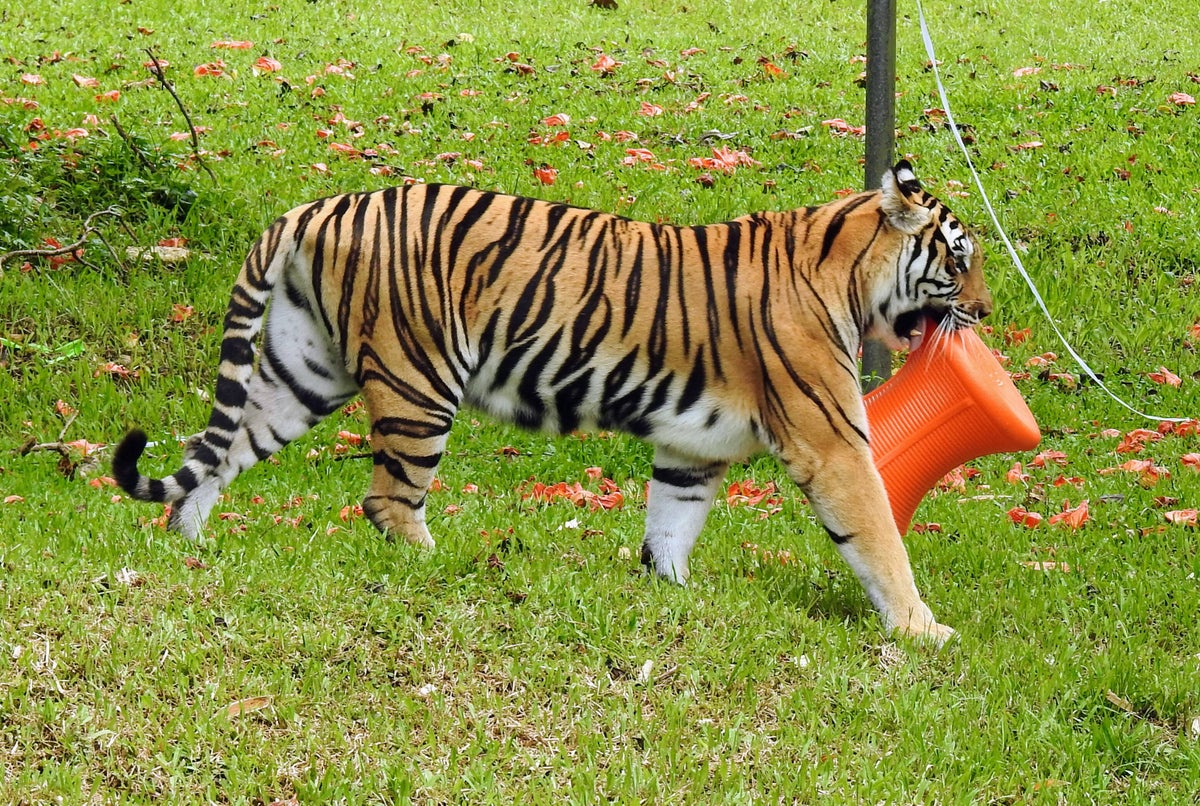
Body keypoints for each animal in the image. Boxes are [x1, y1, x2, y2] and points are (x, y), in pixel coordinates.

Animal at [113, 160, 991, 643]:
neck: (847, 269)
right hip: (419, 380)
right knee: (388, 499)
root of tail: (317, 205)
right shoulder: (832, 440)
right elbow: (878, 536)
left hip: (302, 374)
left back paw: (189, 544)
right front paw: (922, 628)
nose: (983, 314)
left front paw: (672, 593)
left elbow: (670, 525)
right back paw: (440, 564)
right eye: (957, 260)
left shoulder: (691, 448)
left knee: (215, 453)